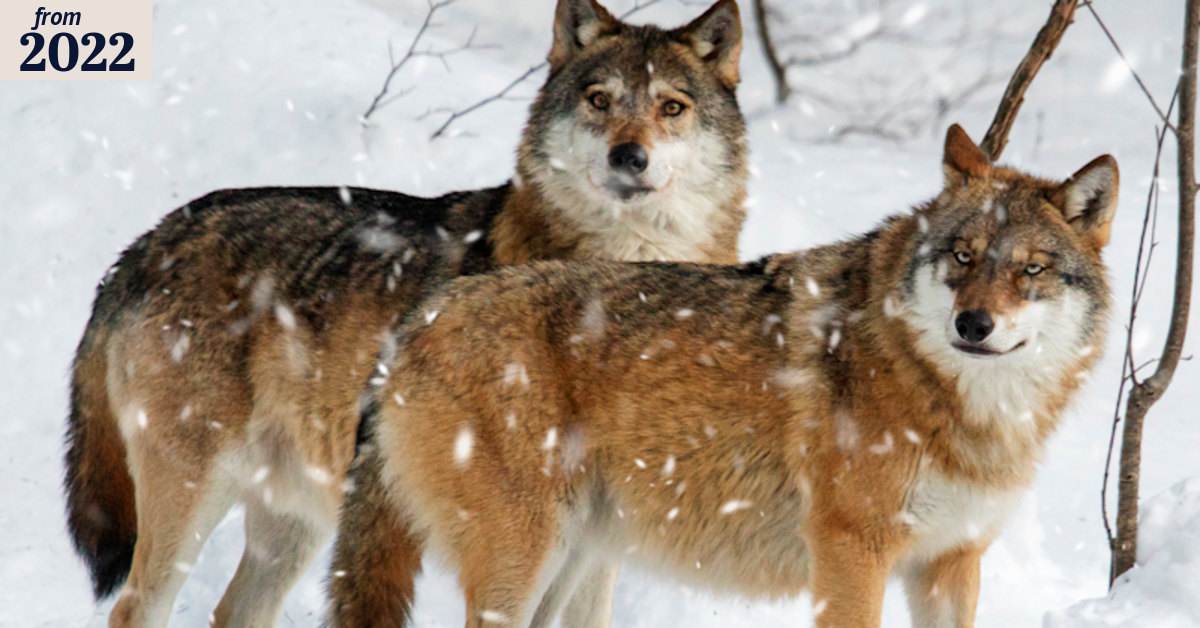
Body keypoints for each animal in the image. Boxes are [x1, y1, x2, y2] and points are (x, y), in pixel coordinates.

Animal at [63, 1, 747, 625]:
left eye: (672, 108)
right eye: (599, 100)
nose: (628, 156)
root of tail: (146, 243)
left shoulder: (601, 545)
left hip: (295, 523)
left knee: (234, 612)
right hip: (196, 501)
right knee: (134, 607)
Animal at [343, 125, 1119, 627]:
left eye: (1031, 270)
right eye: (962, 256)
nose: (972, 324)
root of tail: (424, 313)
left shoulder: (952, 562)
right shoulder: (851, 553)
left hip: (576, 561)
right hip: (524, 562)